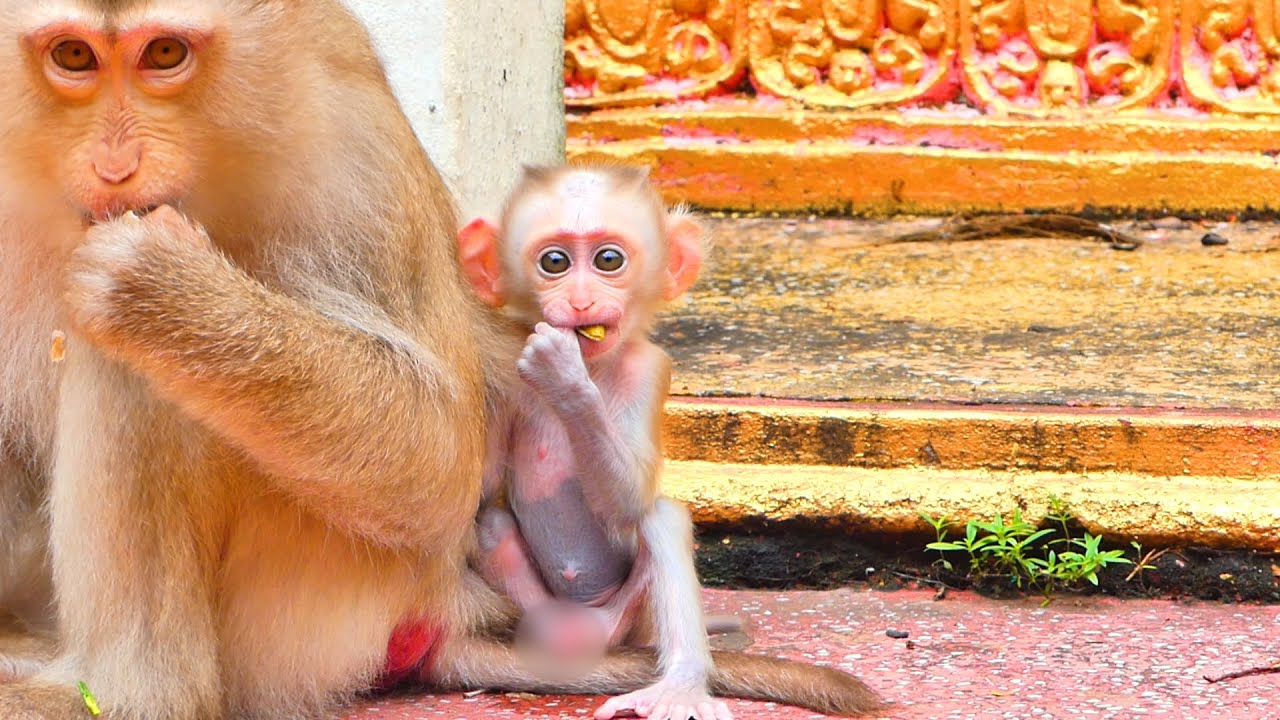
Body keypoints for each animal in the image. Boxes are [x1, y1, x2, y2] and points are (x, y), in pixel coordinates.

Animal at [0, 2, 884, 718]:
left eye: (164, 53)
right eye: (73, 56)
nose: (116, 168)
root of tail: (430, 614)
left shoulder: (344, 145)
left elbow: (431, 458)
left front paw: (156, 285)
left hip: (310, 615)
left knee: (134, 367)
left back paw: (131, 695)